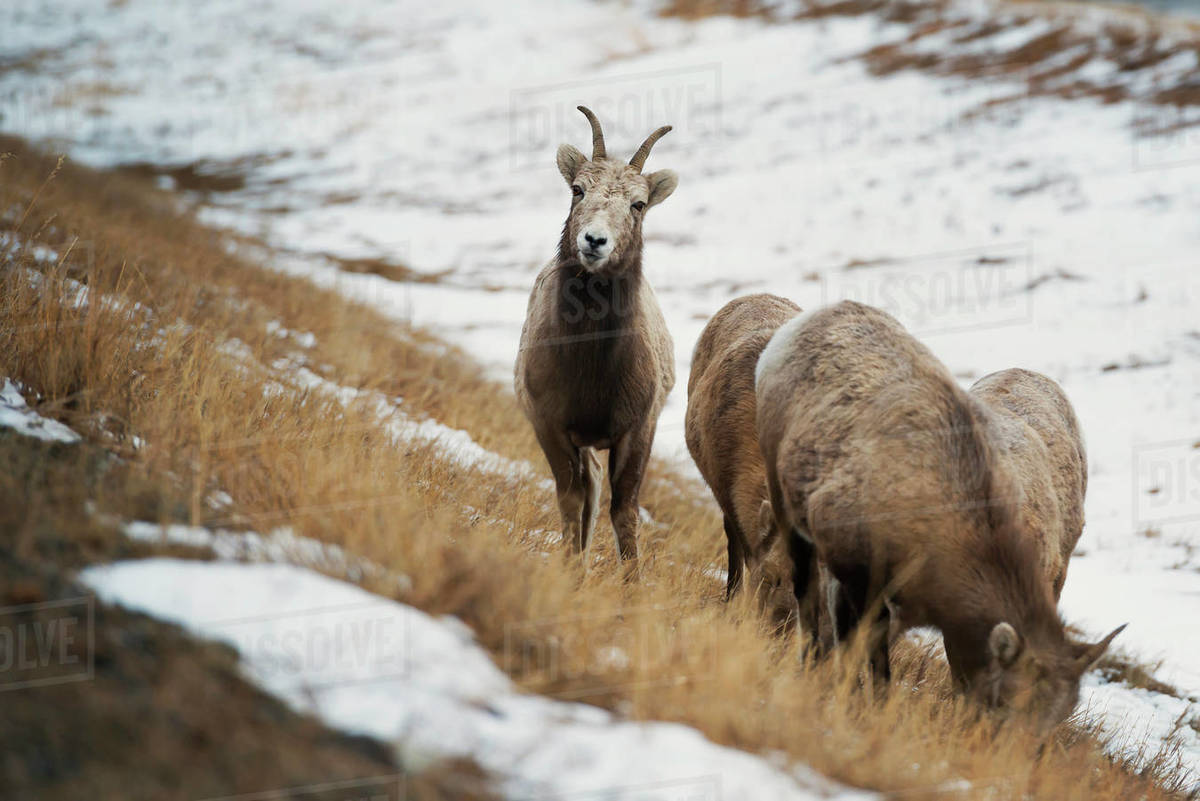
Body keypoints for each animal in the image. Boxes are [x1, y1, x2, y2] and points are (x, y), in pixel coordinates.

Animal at [514, 106, 677, 568]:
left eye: (638, 204)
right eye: (577, 190)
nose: (595, 241)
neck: (591, 368)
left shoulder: (637, 431)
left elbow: (624, 511)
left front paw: (632, 582)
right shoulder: (550, 426)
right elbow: (571, 500)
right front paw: (572, 571)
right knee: (588, 487)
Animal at [755, 300, 1123, 728]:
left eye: (1058, 719)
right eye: (1004, 701)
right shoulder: (859, 570)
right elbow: (860, 652)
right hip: (783, 499)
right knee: (805, 594)